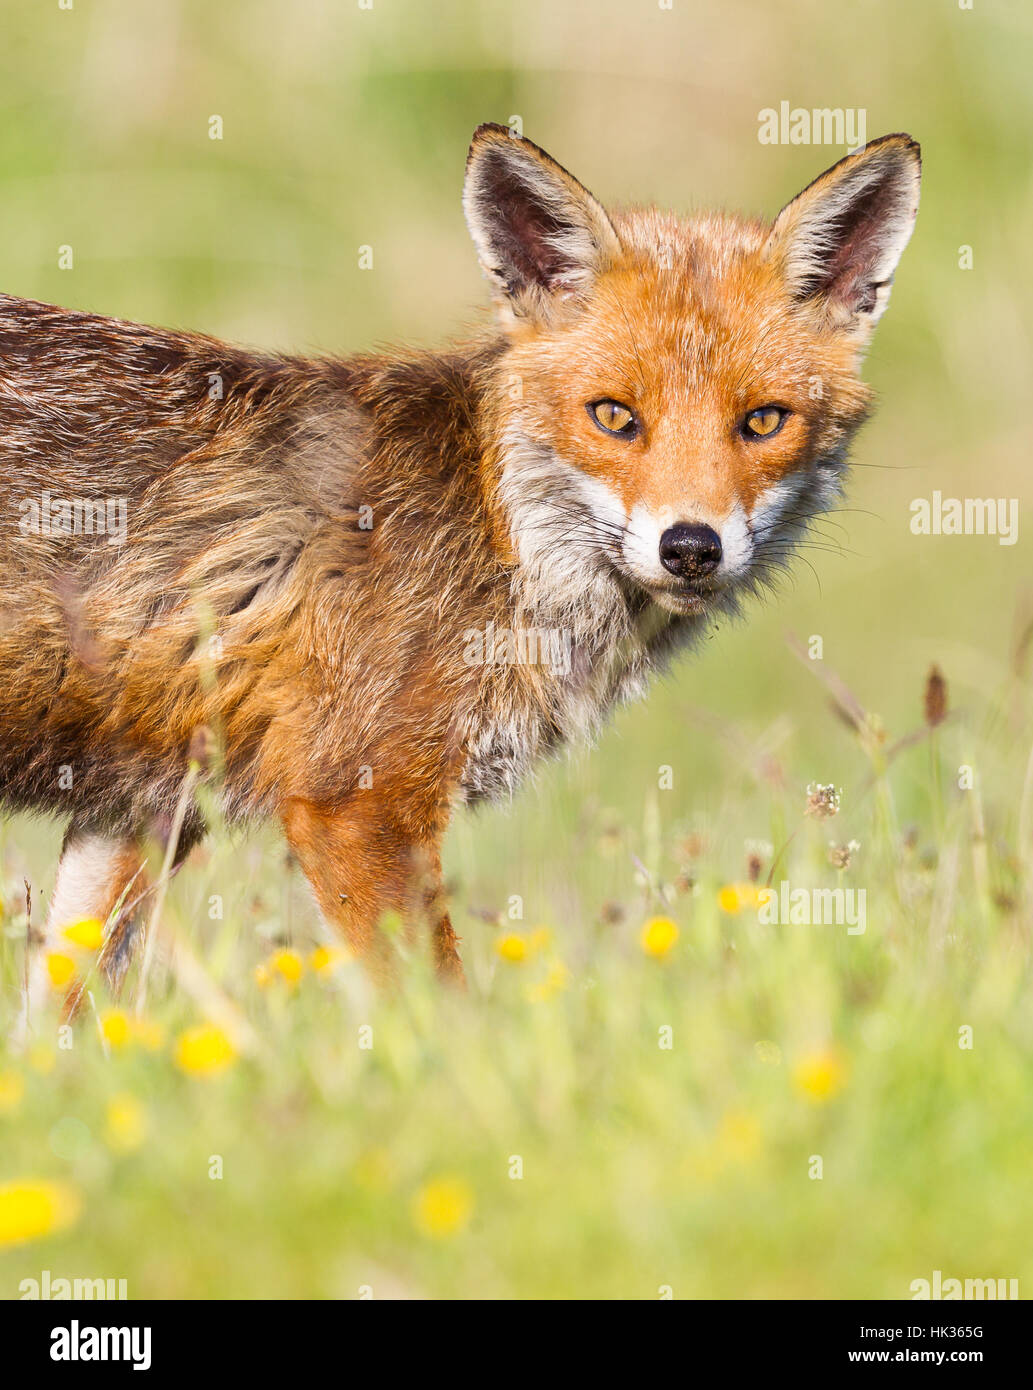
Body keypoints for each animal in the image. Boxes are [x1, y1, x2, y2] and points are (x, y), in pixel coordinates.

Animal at [0, 124, 920, 1019]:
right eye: (614, 417)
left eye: (762, 421)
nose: (689, 547)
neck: (501, 530)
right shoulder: (356, 804)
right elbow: (436, 1016)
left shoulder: (138, 807)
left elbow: (63, 1022)